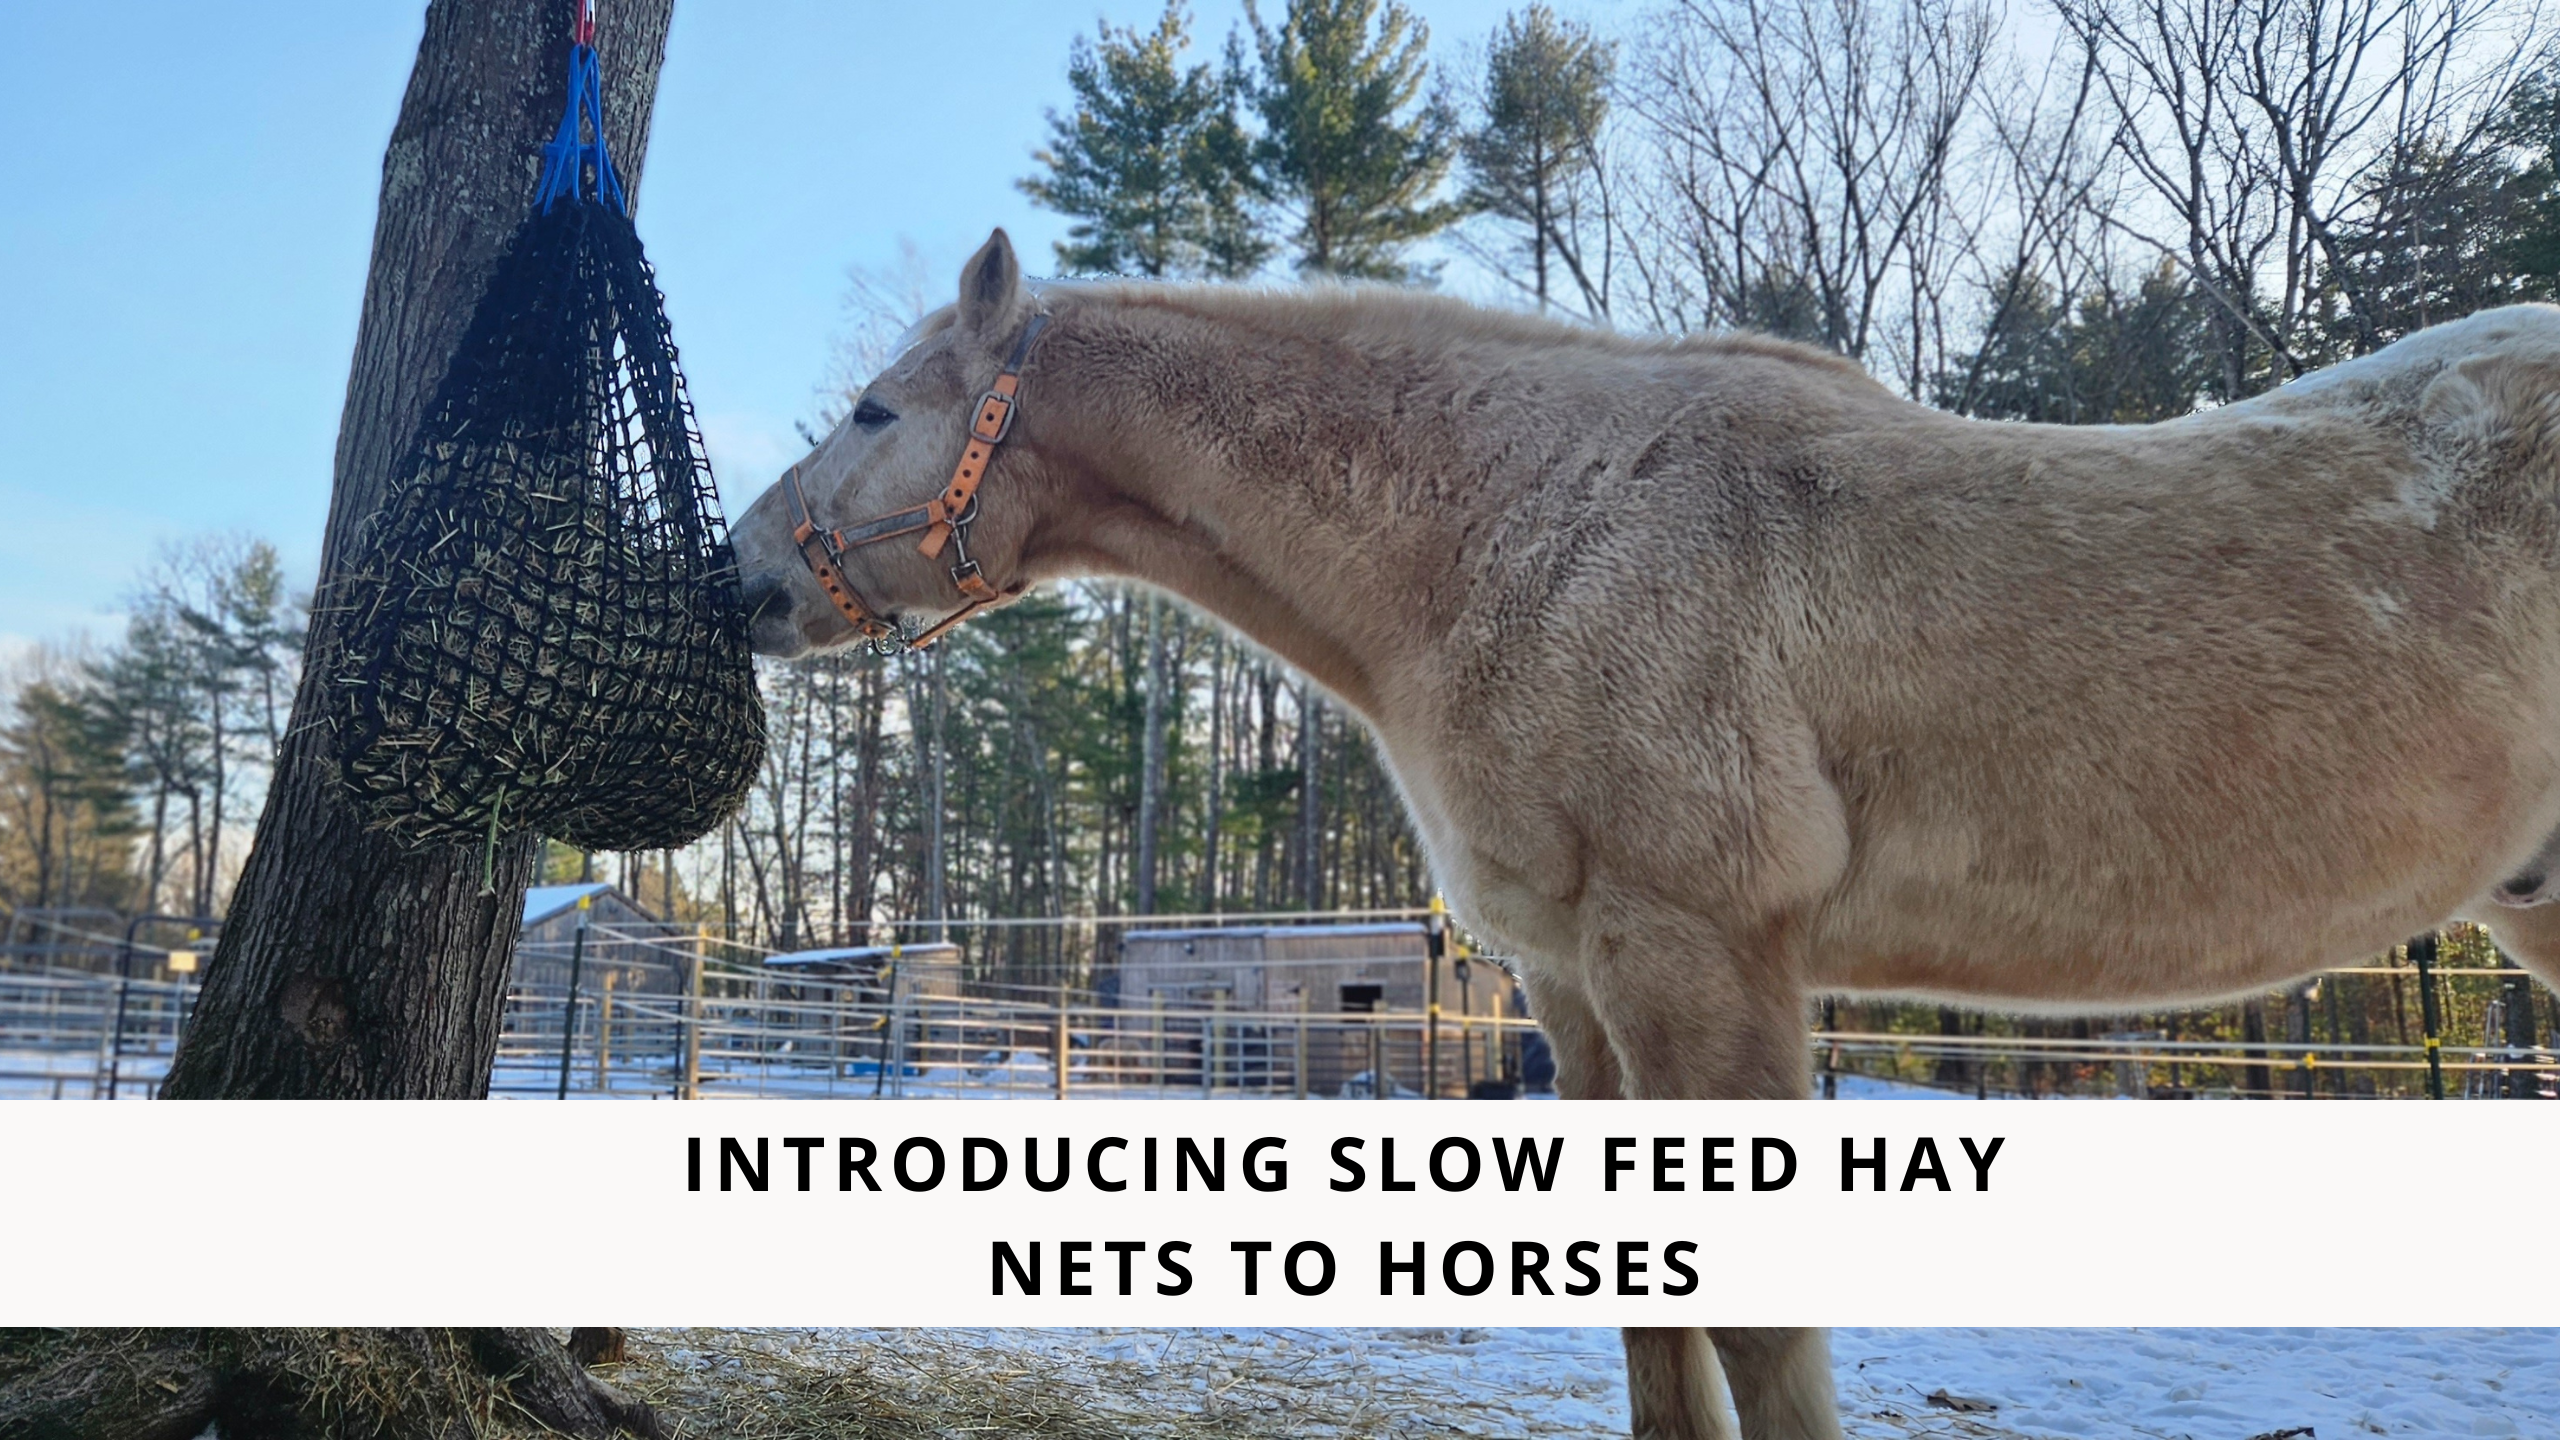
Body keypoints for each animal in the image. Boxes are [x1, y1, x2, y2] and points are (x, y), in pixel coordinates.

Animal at [730, 228, 2560, 1440]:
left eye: (878, 411)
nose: (734, 581)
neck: (1527, 527)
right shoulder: (1573, 982)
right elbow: (1654, 1329)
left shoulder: (1696, 952)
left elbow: (1758, 1329)